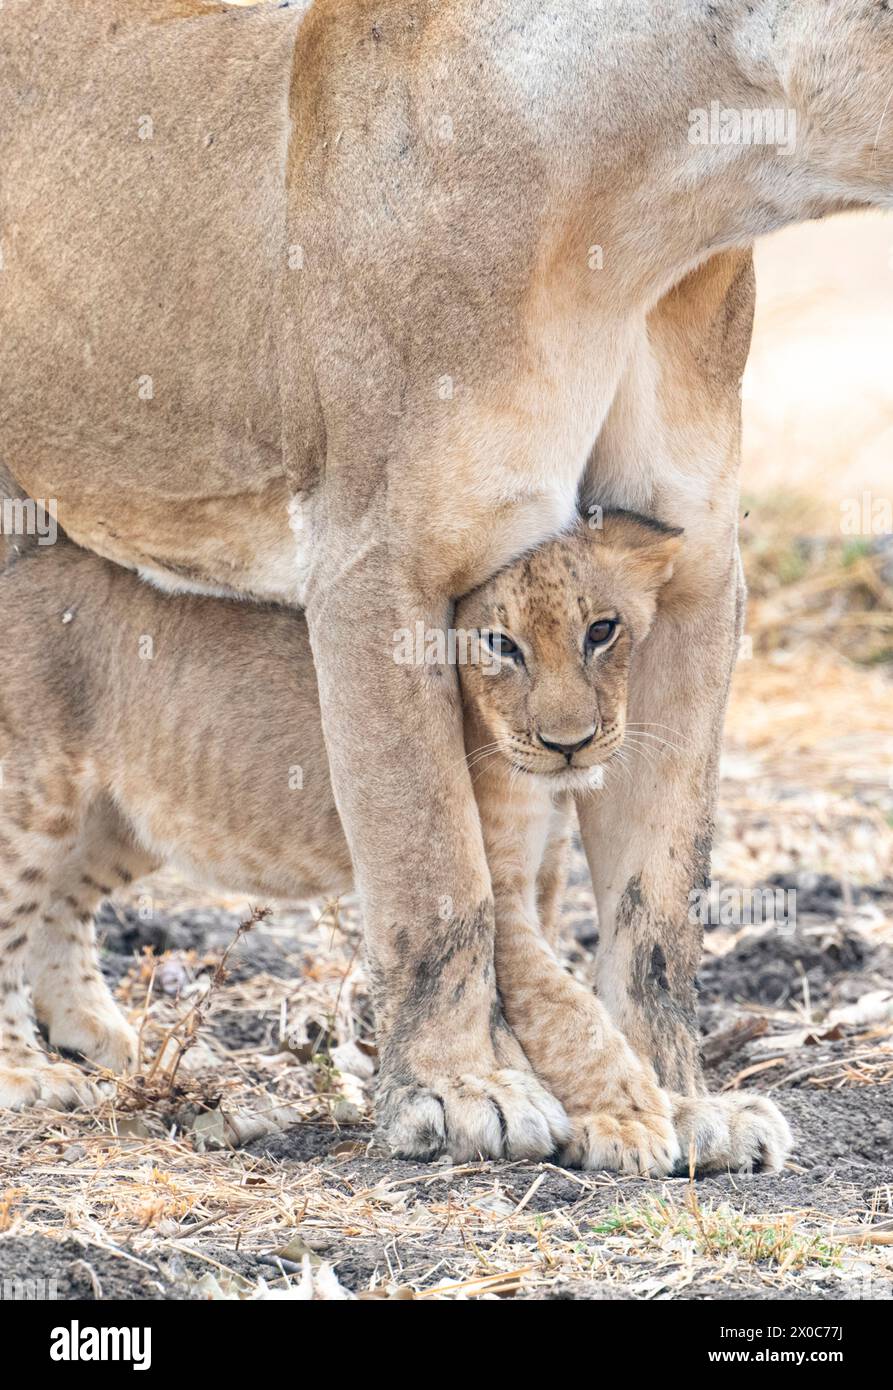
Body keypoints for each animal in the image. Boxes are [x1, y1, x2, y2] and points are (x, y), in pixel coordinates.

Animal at [1, 0, 887, 1163]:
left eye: (605, 631)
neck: (654, 214)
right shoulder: (375, 566)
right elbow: (435, 864)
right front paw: (461, 1091)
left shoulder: (697, 575)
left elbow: (657, 900)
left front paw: (681, 1099)